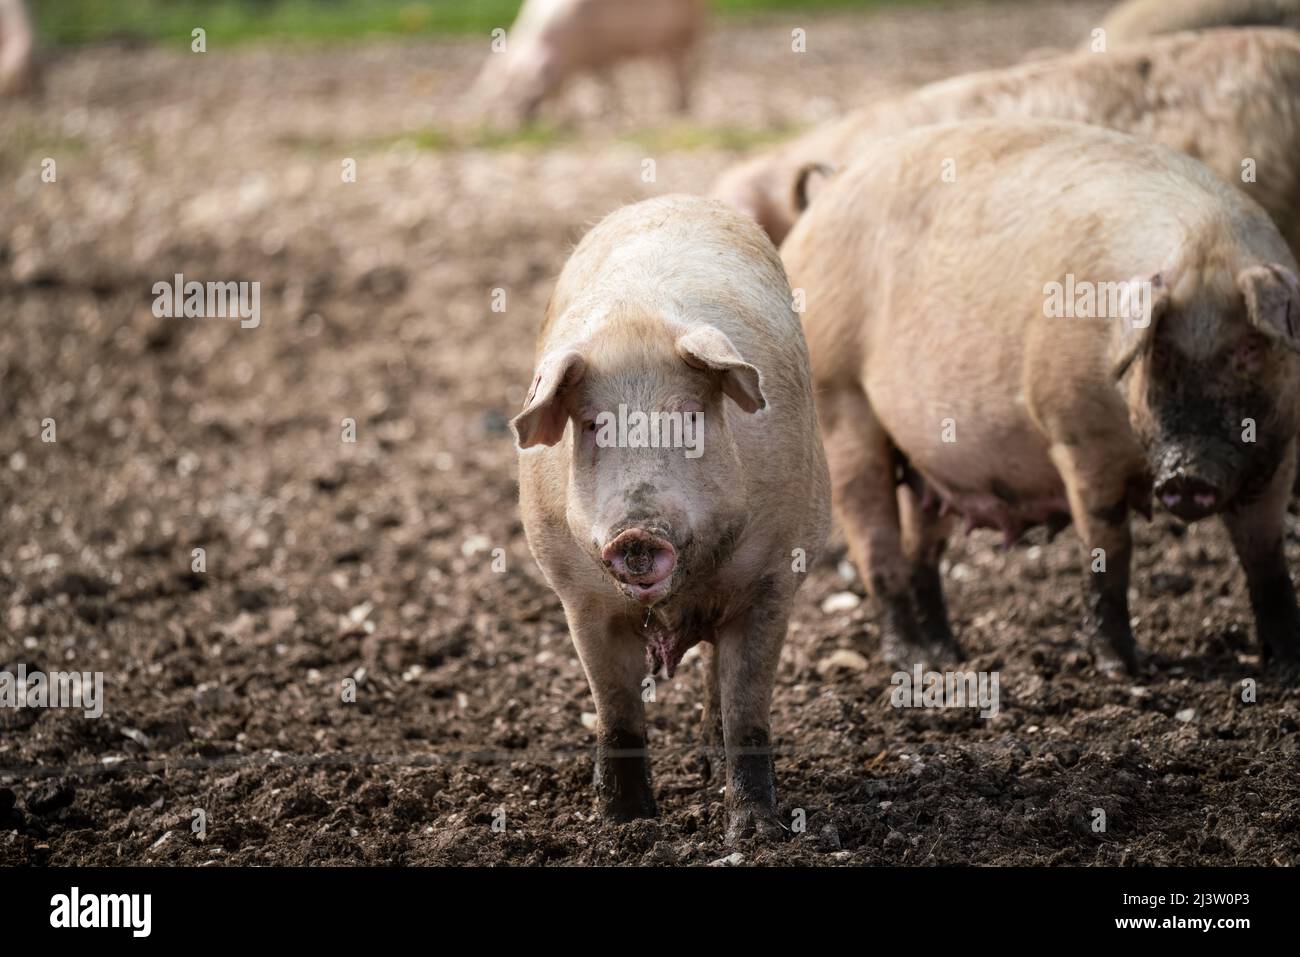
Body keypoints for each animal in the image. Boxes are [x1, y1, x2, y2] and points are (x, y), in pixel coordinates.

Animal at [474, 0, 705, 125]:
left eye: (528, 94)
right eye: (498, 90)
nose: (505, 123)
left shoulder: (603, 52)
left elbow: (607, 83)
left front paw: (610, 113)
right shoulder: (569, 69)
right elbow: (564, 93)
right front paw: (567, 118)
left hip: (685, 33)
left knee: (684, 70)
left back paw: (679, 108)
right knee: (660, 70)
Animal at [512, 194, 830, 841]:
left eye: (686, 418)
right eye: (593, 425)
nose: (637, 530)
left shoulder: (773, 581)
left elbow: (748, 712)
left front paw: (757, 836)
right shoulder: (580, 600)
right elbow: (616, 713)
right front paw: (623, 827)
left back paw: (711, 770)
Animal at [782, 118, 1300, 676]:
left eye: (1250, 348)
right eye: (1156, 351)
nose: (1188, 475)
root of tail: (819, 203)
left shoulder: (1279, 450)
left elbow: (1265, 558)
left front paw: (1286, 668)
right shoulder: (1075, 432)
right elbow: (1108, 550)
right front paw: (1123, 670)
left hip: (924, 459)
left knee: (922, 548)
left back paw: (949, 654)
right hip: (839, 402)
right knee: (875, 545)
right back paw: (914, 661)